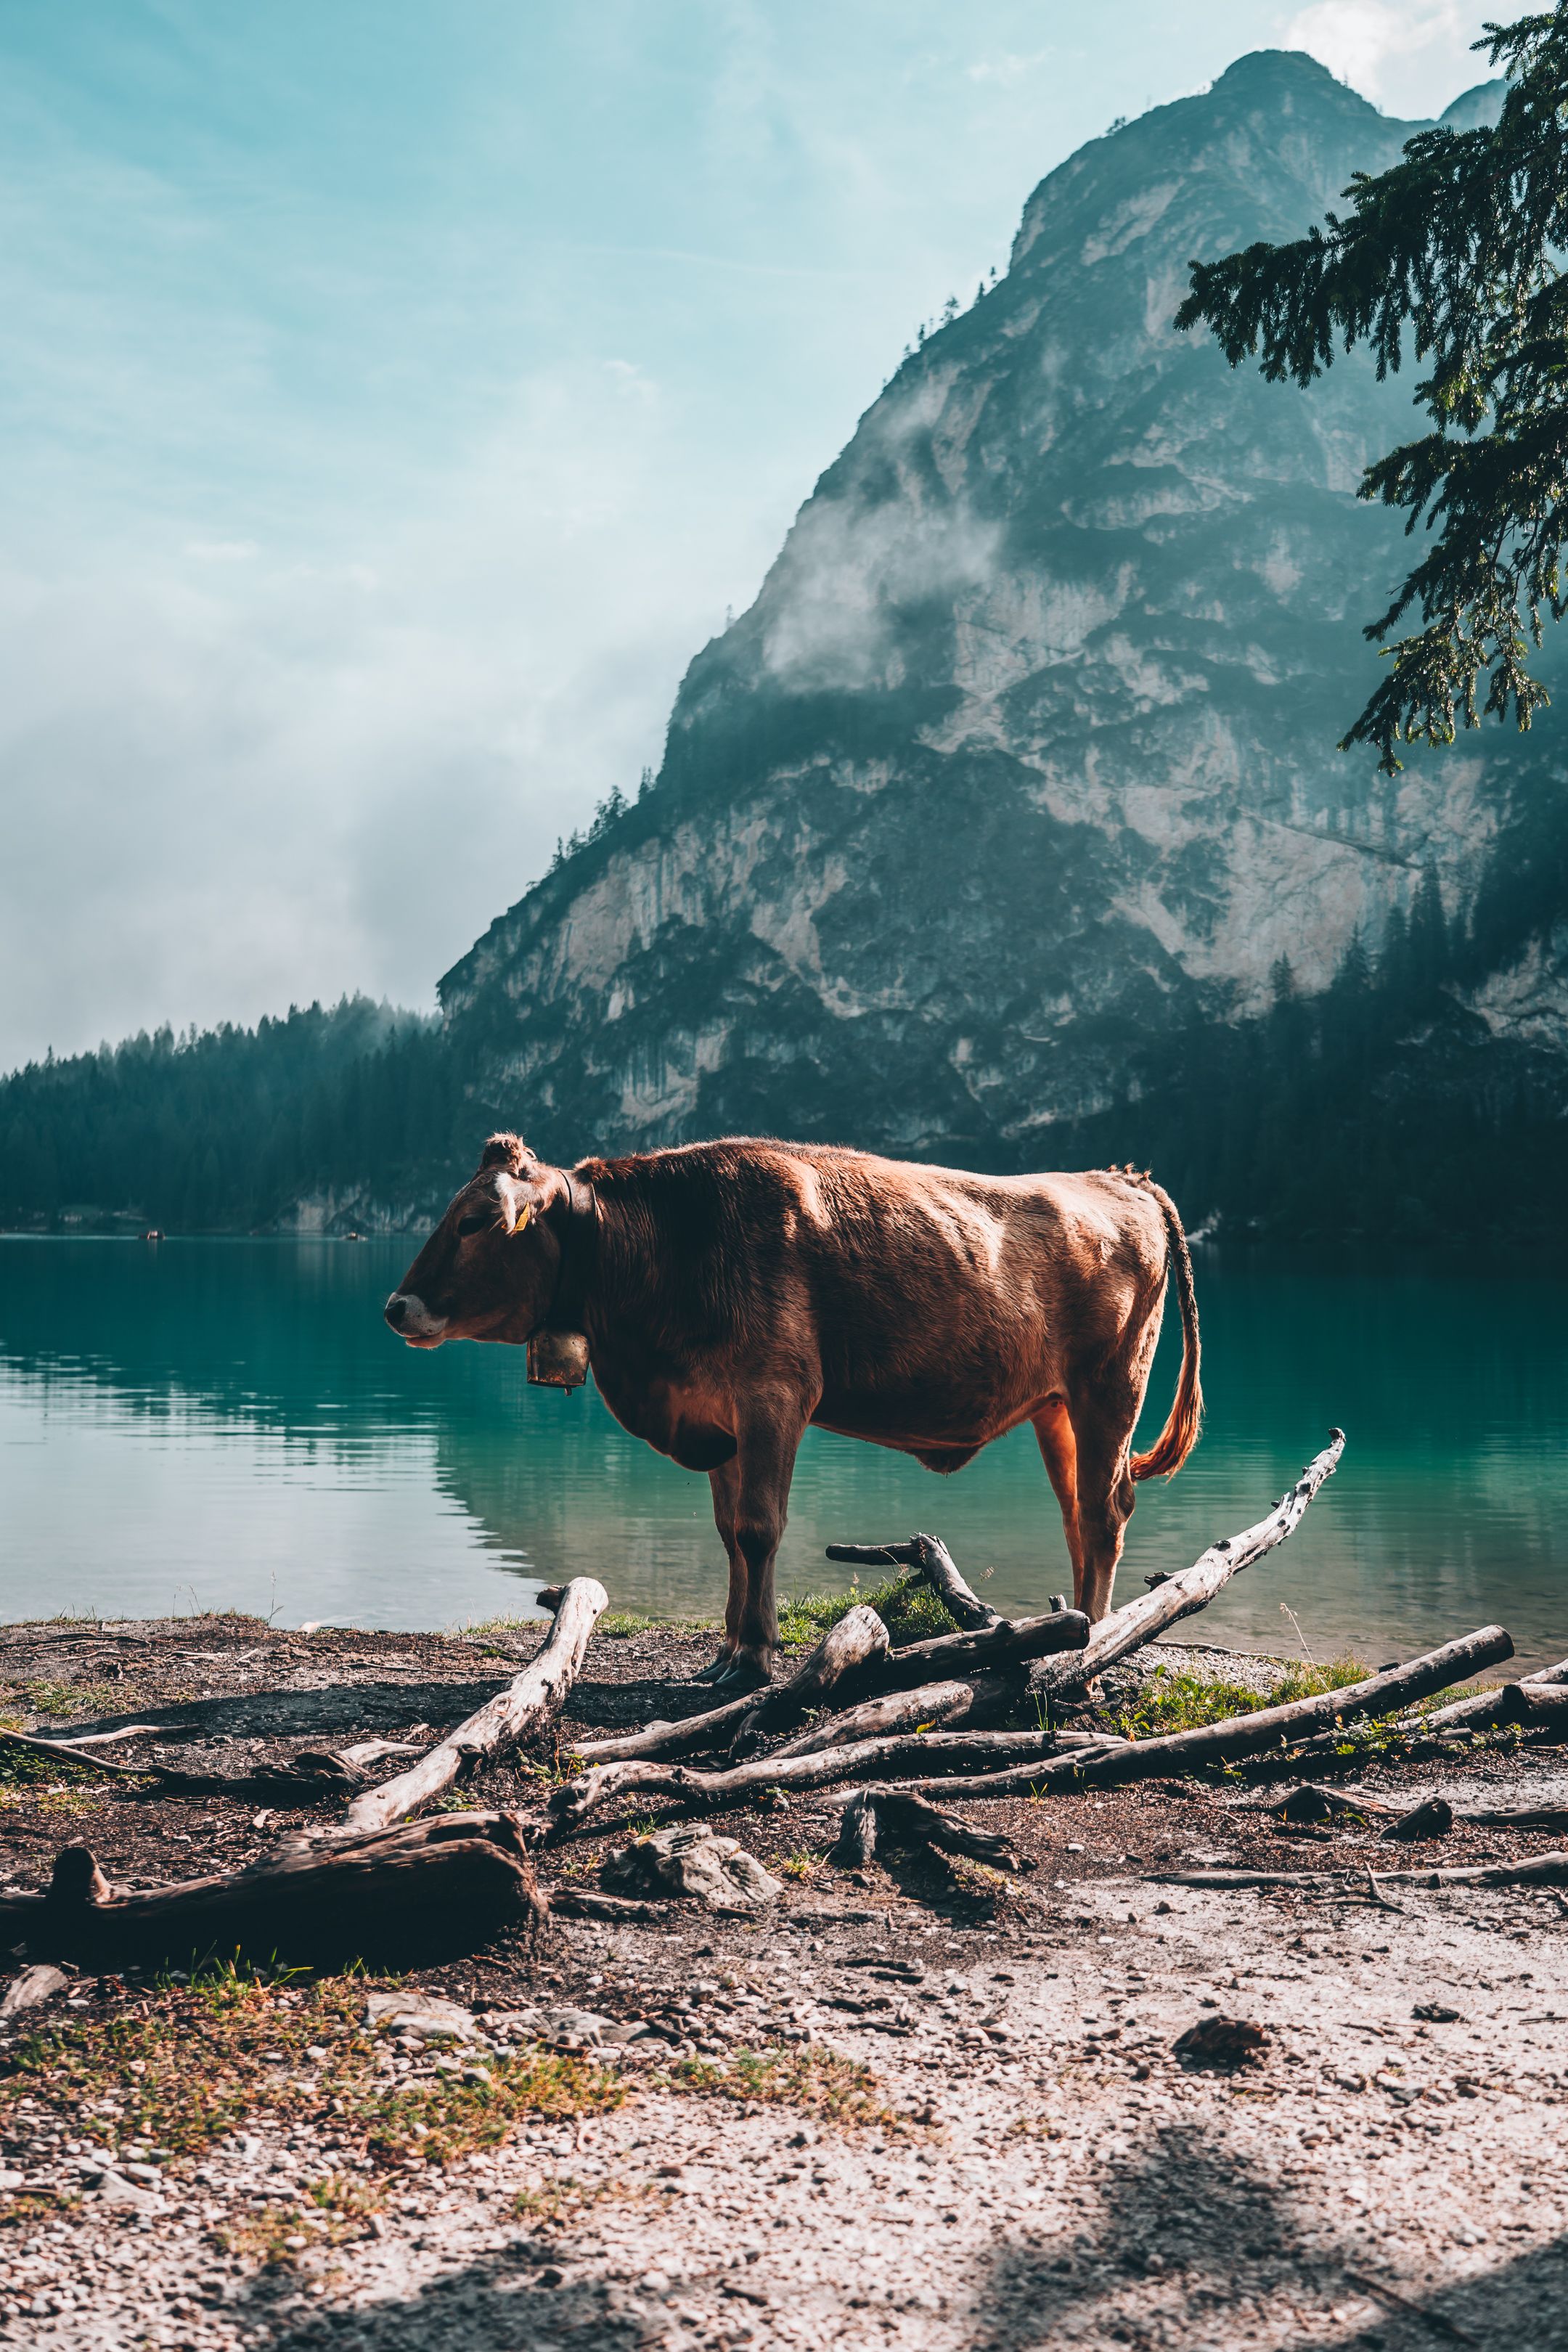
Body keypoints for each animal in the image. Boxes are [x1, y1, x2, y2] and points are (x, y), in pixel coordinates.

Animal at [384, 1133, 1202, 1691]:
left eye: (475, 1220)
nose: (397, 1306)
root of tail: (1119, 1177)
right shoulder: (719, 1415)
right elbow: (728, 1535)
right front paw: (726, 1651)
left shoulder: (773, 1394)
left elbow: (758, 1528)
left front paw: (753, 1659)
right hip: (1056, 1405)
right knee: (1079, 1513)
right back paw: (1078, 1627)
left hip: (1110, 1385)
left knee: (1104, 1513)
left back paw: (1093, 1640)